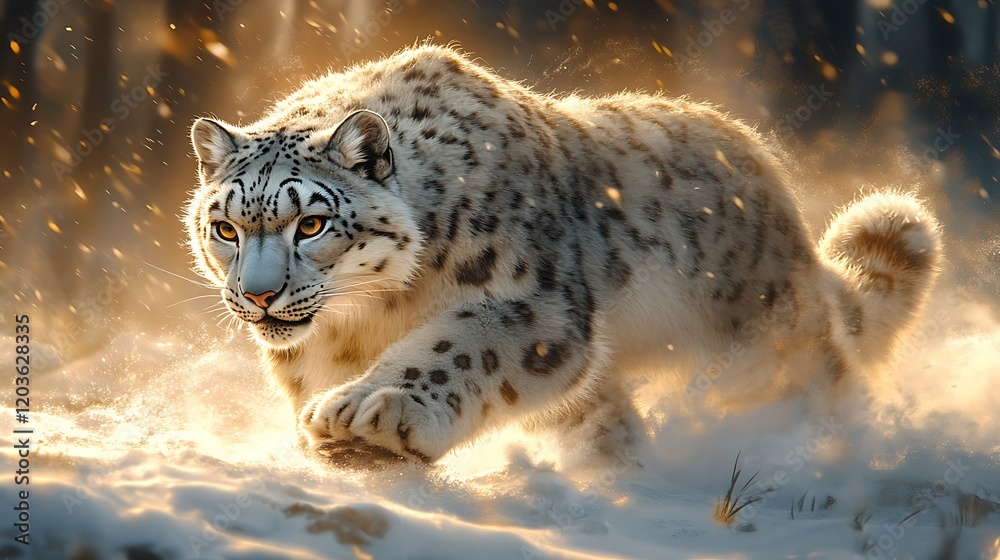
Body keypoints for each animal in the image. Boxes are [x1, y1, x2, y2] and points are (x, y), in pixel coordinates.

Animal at [185, 44, 941, 463]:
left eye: (311, 224)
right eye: (226, 228)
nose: (258, 295)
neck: (370, 317)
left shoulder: (535, 302)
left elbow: (459, 347)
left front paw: (373, 411)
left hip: (770, 348)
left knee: (823, 383)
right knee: (604, 420)